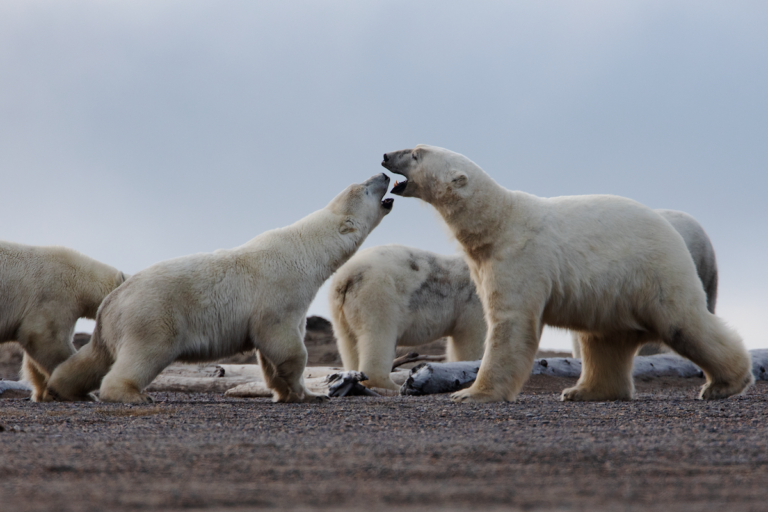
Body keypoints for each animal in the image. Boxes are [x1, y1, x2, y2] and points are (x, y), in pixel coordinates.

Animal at [45, 173, 394, 403]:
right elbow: (285, 343)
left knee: (92, 359)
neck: (304, 251)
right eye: (365, 188)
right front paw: (308, 393)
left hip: (113, 327)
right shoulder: (281, 291)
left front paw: (292, 393)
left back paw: (62, 389)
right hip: (152, 317)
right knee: (143, 355)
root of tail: (111, 302)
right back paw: (131, 395)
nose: (383, 173)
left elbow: (270, 353)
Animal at [329, 244, 485, 390]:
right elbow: (470, 338)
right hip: (378, 295)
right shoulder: (473, 301)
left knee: (348, 341)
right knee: (379, 336)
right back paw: (392, 386)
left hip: (340, 309)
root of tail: (346, 277)